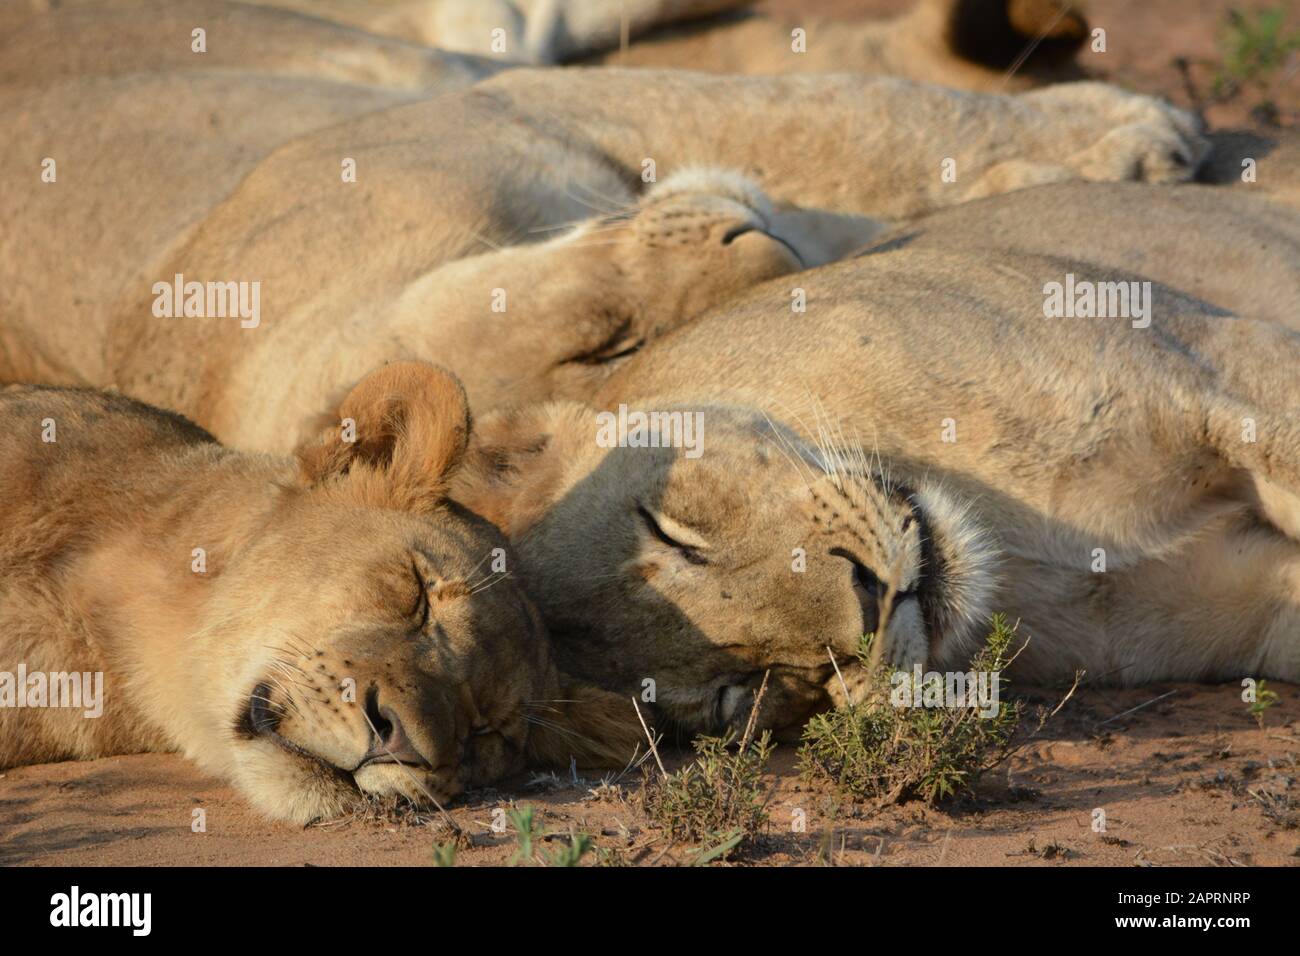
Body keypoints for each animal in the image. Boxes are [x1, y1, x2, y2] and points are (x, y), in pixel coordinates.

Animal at [446, 244, 1300, 738]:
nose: (869, 605)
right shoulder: (1247, 601)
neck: (1011, 541)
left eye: (672, 530)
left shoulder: (1218, 359)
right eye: (739, 695)